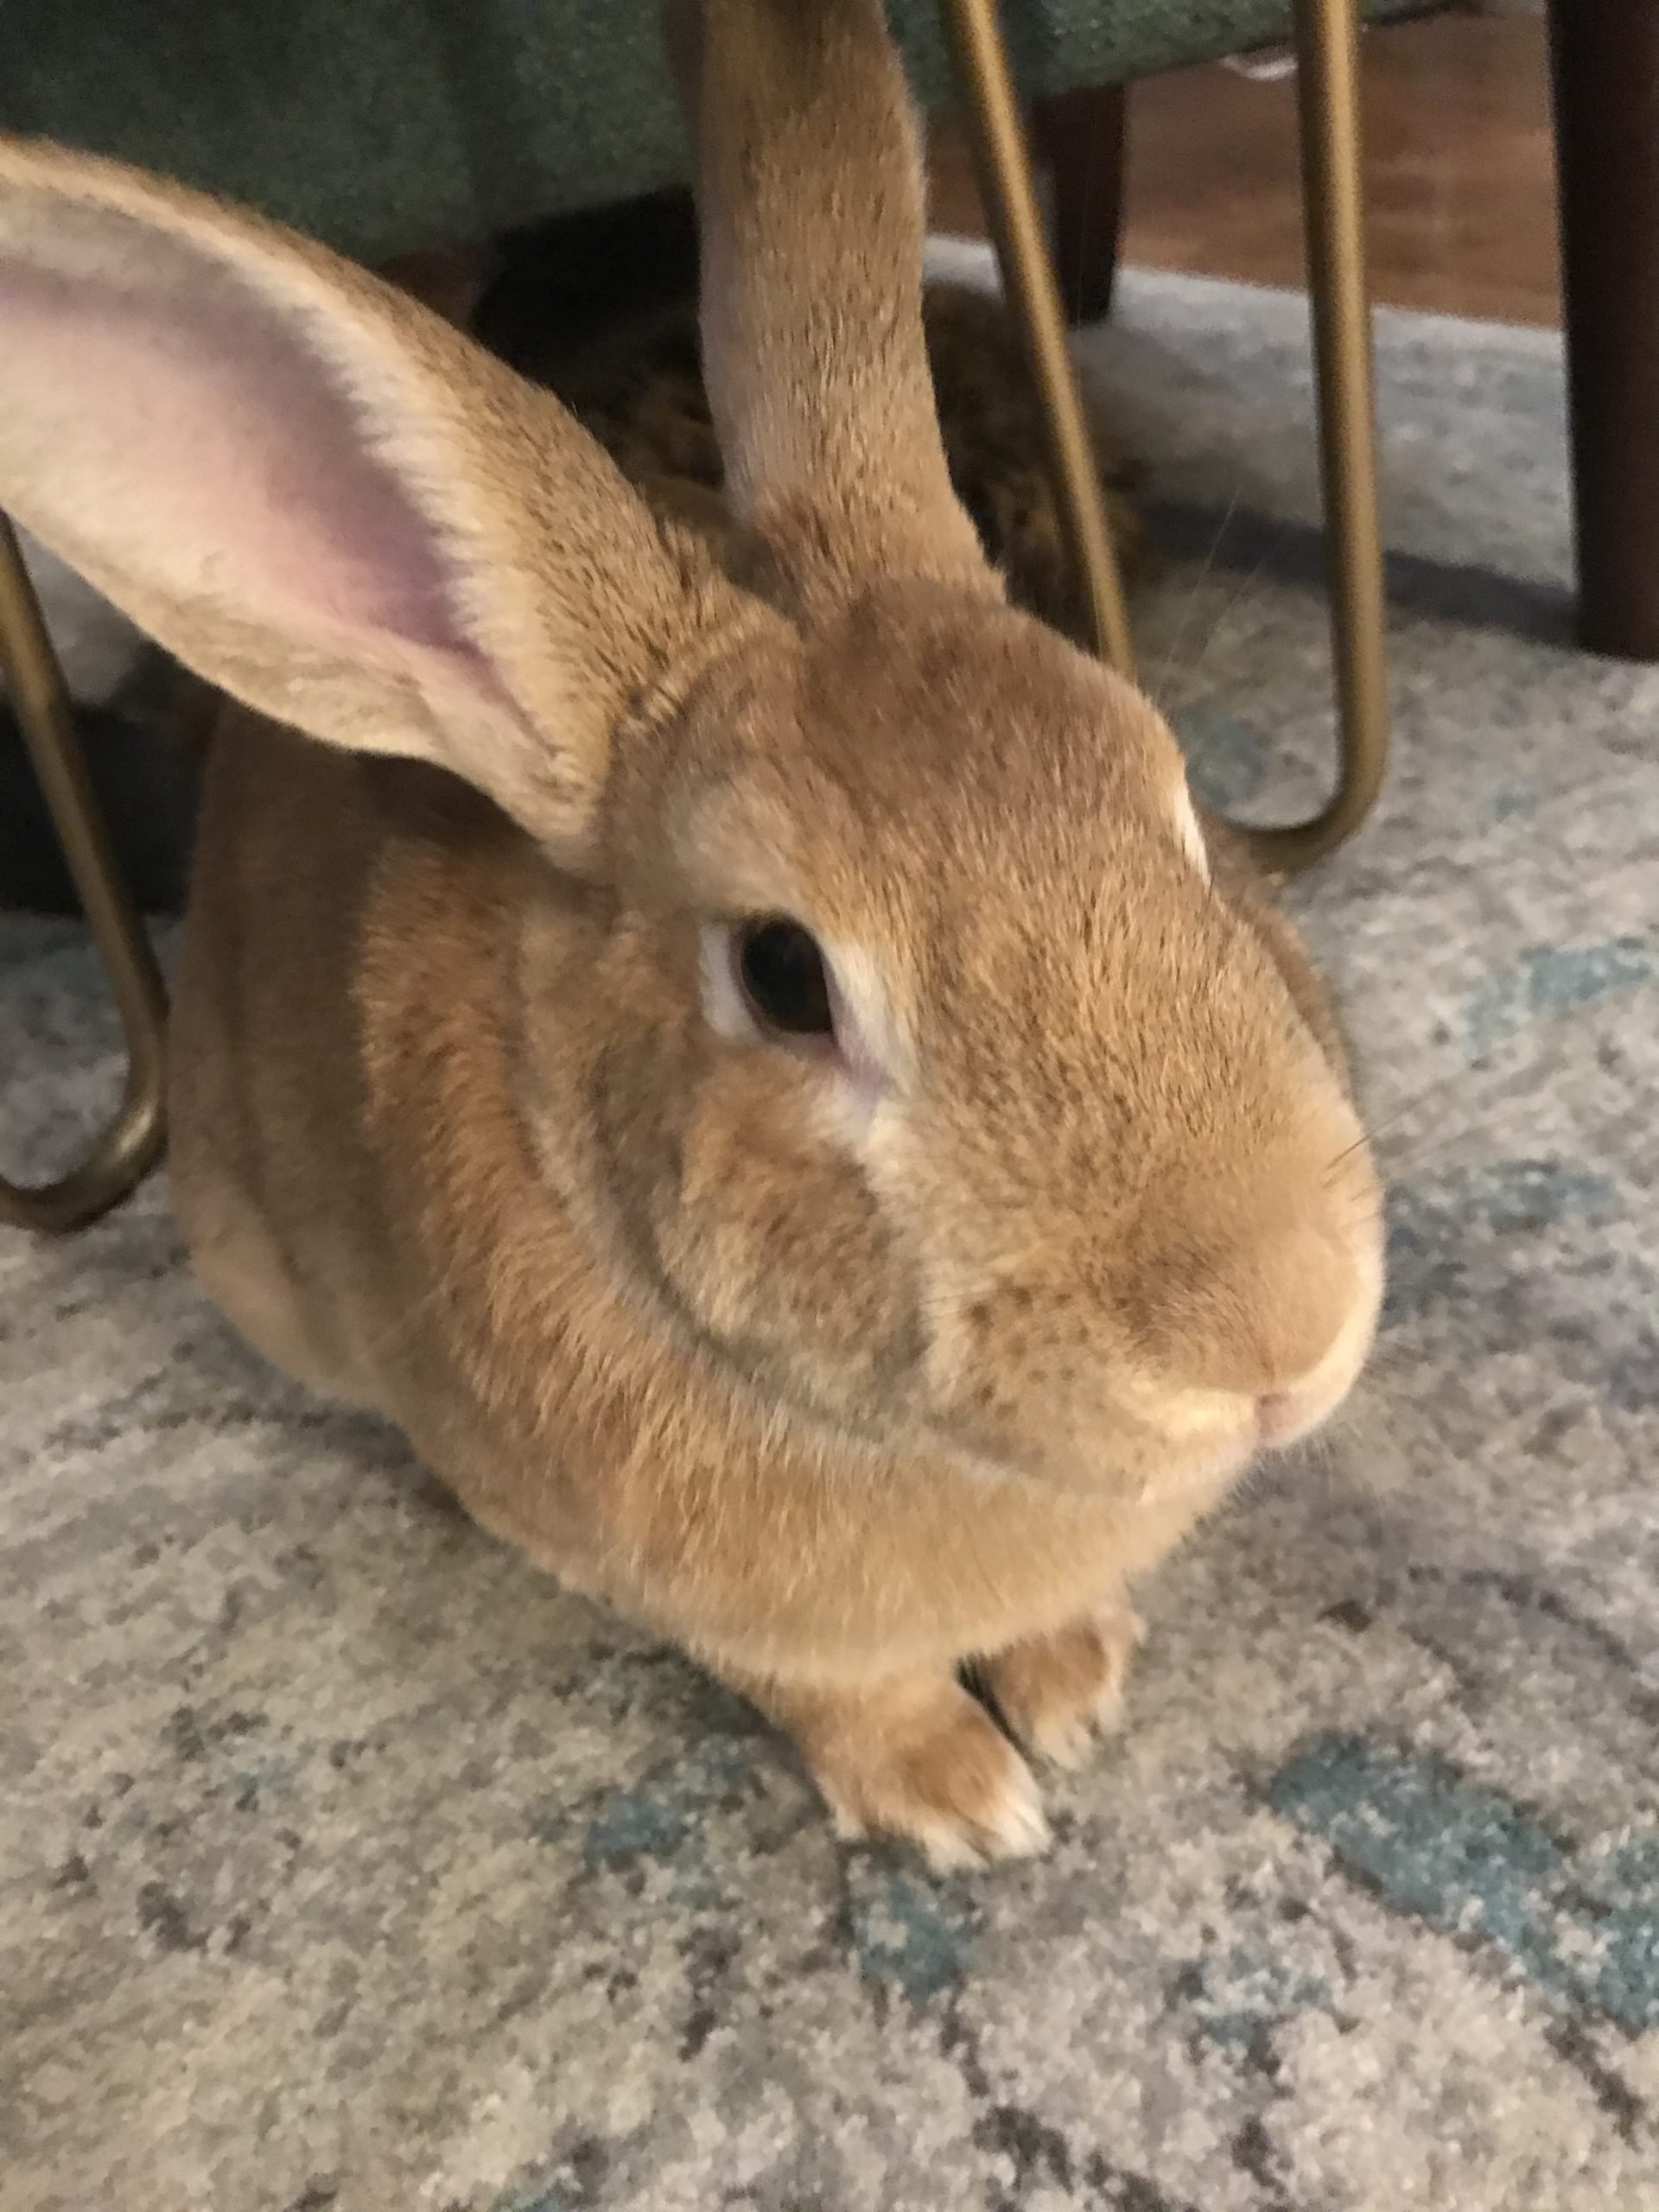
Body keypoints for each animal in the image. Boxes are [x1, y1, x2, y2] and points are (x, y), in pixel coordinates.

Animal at [0, 0, 1383, 1868]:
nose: (1281, 1333)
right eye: (785, 977)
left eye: (1175, 803)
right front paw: (960, 1801)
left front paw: (1076, 1679)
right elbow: (823, 1684)